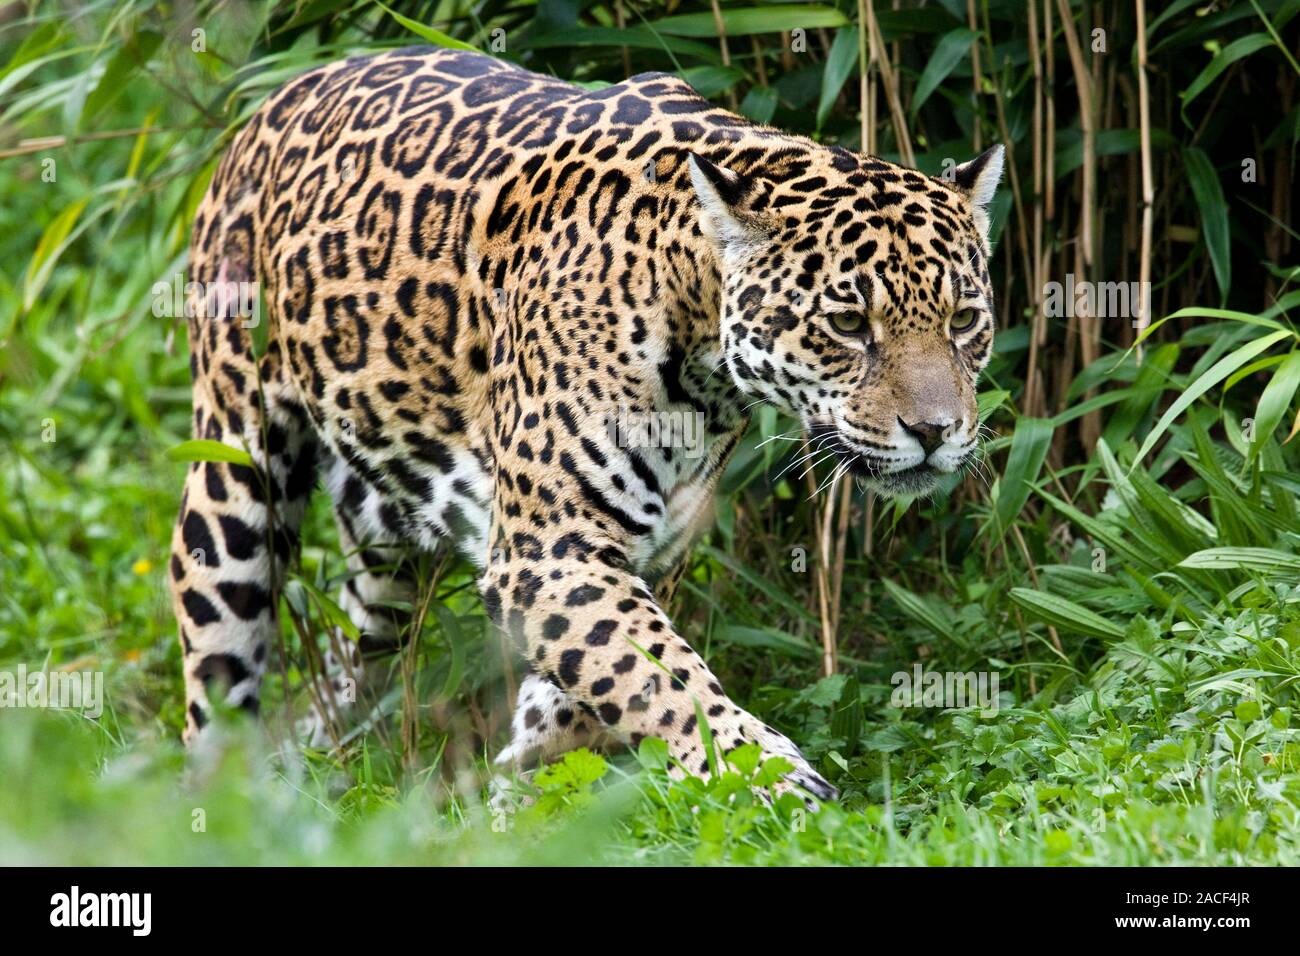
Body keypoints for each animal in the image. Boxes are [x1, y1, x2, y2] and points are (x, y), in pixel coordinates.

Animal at [169, 44, 1003, 805]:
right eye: (848, 324)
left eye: (964, 320)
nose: (937, 431)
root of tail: (278, 95)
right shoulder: (551, 550)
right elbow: (656, 671)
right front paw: (760, 774)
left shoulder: (641, 549)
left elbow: (592, 683)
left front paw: (521, 794)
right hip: (232, 480)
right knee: (214, 674)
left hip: (387, 535)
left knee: (360, 650)